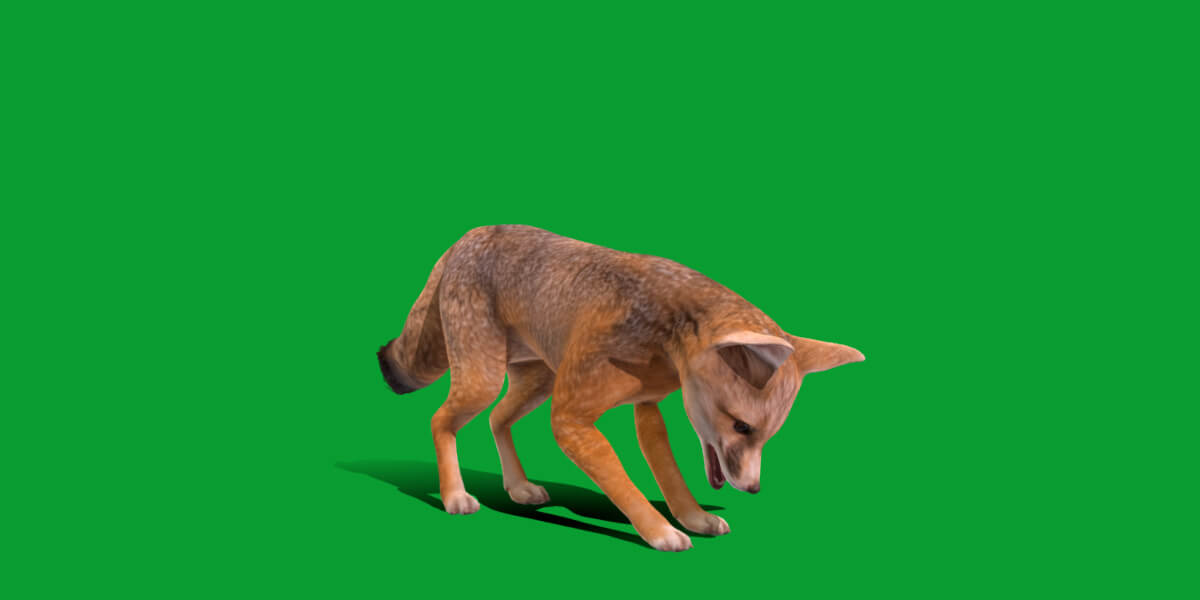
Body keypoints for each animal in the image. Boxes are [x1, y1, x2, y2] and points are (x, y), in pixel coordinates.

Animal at [377, 225, 864, 551]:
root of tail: (472, 233)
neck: (662, 335)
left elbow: (671, 479)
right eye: (742, 427)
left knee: (497, 419)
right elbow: (625, 486)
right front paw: (659, 530)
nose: (754, 489)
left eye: (767, 436)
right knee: (441, 420)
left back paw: (518, 487)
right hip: (486, 379)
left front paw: (694, 517)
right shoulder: (570, 419)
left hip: (536, 381)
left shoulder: (647, 408)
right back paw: (454, 494)